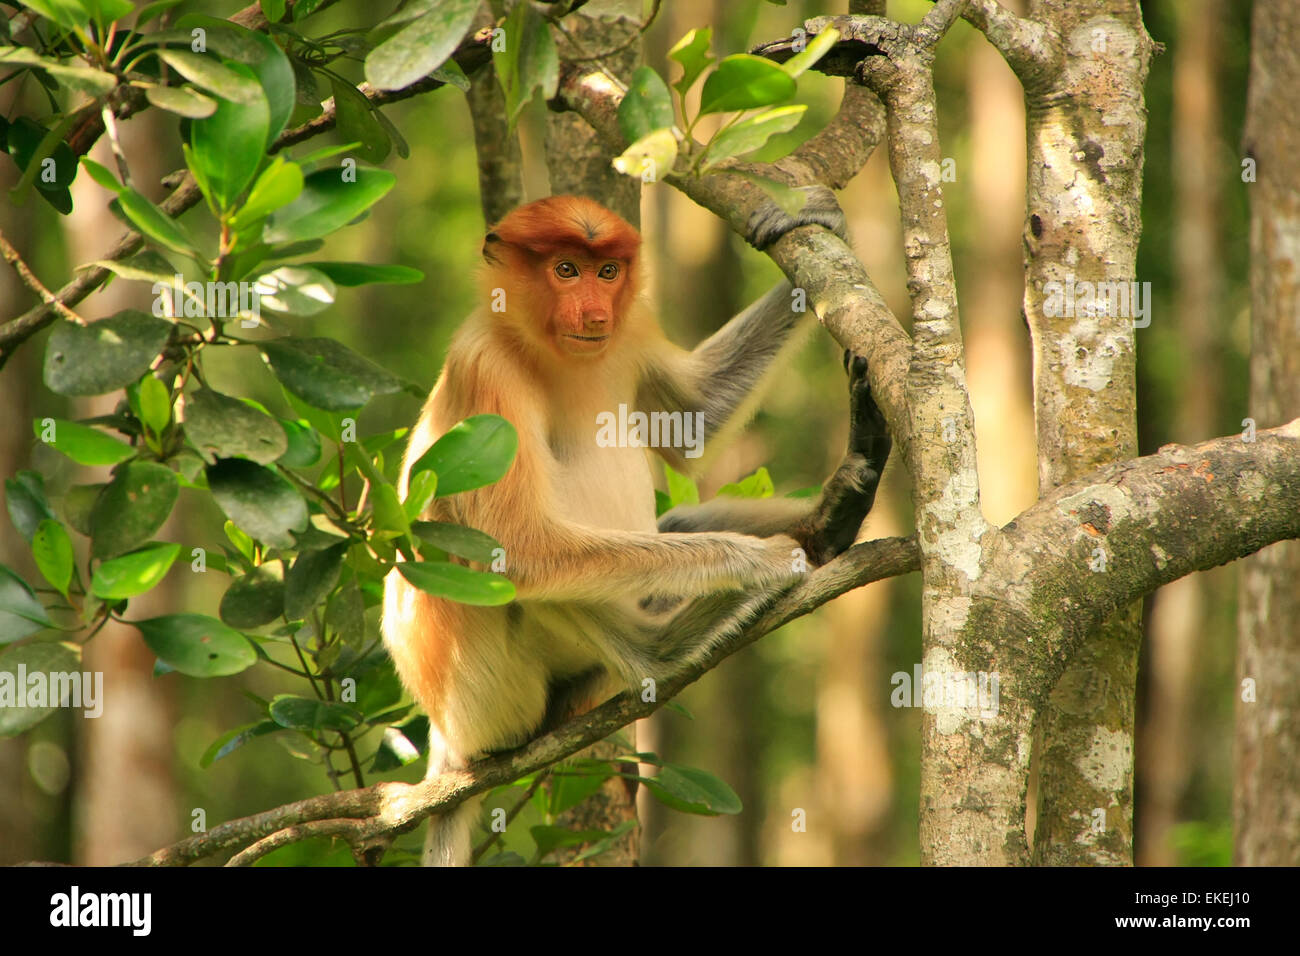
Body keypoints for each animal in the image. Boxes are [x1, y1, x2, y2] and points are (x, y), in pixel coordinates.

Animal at [381, 194, 890, 865]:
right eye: (564, 270)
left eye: (607, 273)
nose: (595, 313)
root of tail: (445, 737)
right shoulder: (483, 369)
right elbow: (517, 550)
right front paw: (755, 562)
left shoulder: (630, 332)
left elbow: (695, 419)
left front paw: (812, 219)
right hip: (489, 696)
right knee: (521, 574)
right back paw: (666, 647)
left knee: (678, 523)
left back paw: (834, 516)